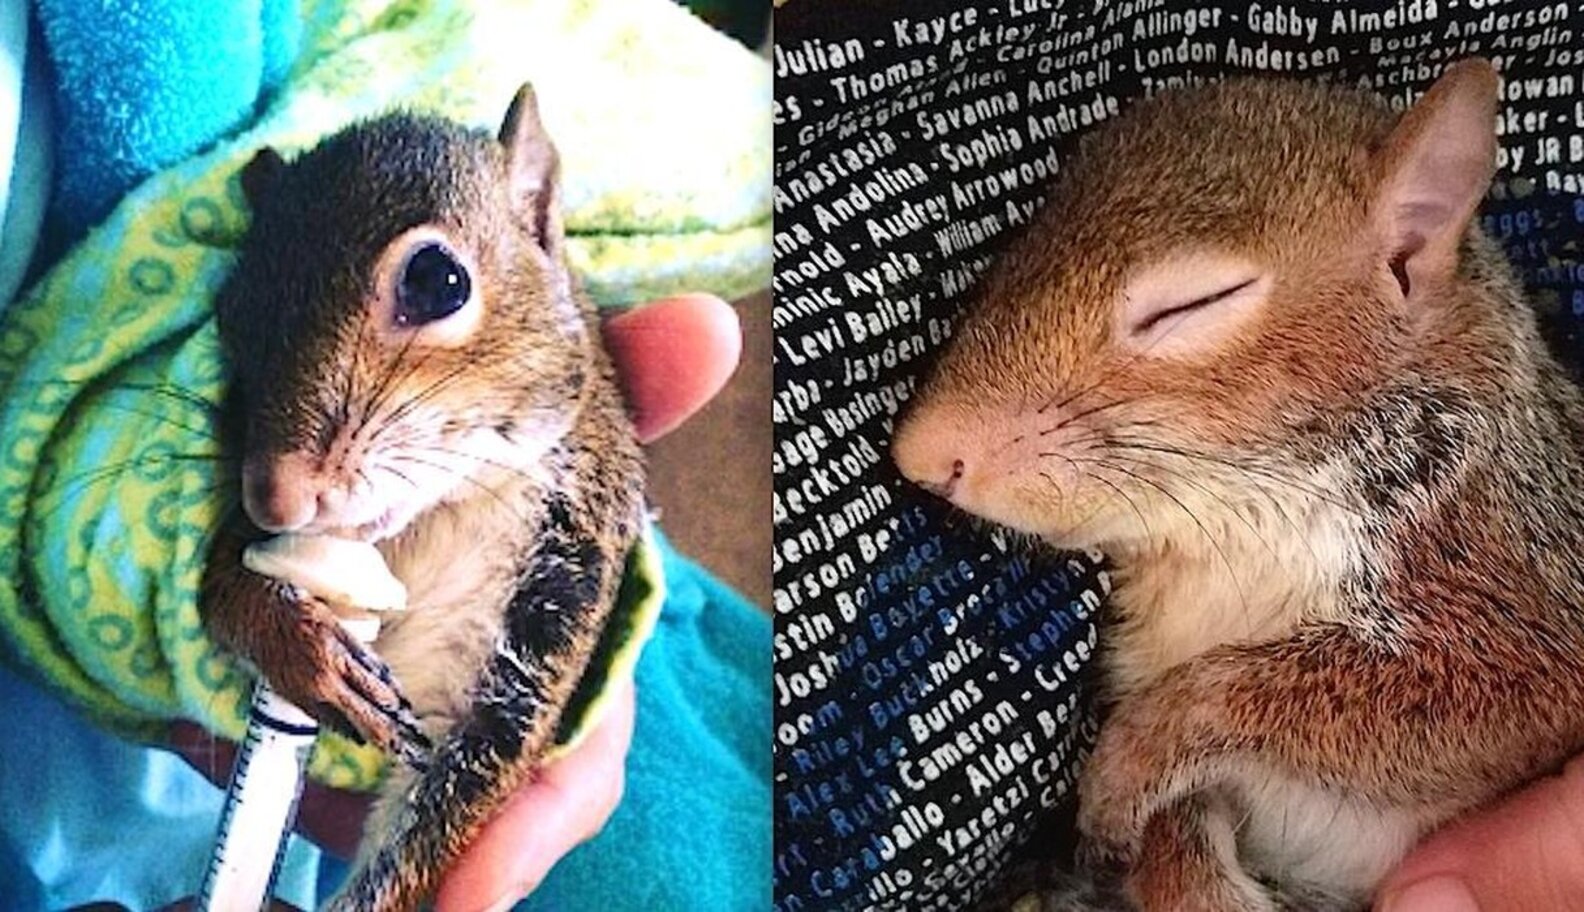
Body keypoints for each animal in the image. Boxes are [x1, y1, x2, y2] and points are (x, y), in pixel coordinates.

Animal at [198, 85, 645, 911]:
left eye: (439, 281)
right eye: (228, 318)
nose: (276, 499)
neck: (436, 518)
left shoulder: (553, 600)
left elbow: (441, 813)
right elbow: (221, 591)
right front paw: (304, 649)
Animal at [892, 59, 1584, 911]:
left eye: (1193, 303)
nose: (922, 453)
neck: (1241, 523)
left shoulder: (1518, 580)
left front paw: (1130, 759)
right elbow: (1179, 845)